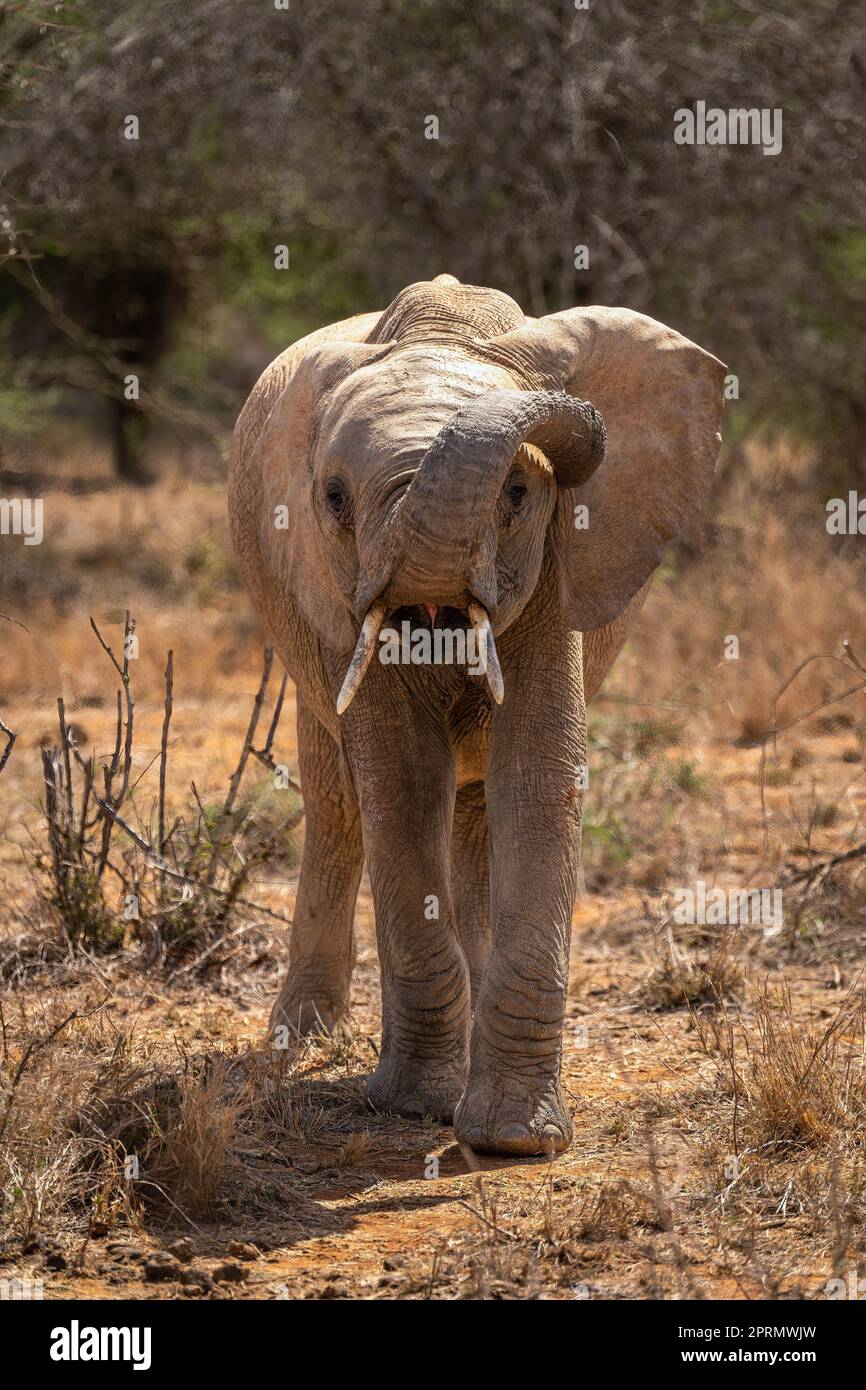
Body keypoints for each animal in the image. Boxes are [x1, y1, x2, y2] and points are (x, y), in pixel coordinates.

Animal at [228, 275, 725, 1156]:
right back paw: (307, 1039)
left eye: (520, 496)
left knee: (473, 805)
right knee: (338, 803)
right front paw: (416, 1107)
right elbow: (399, 782)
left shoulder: (560, 565)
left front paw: (514, 1139)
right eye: (333, 500)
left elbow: (536, 773)